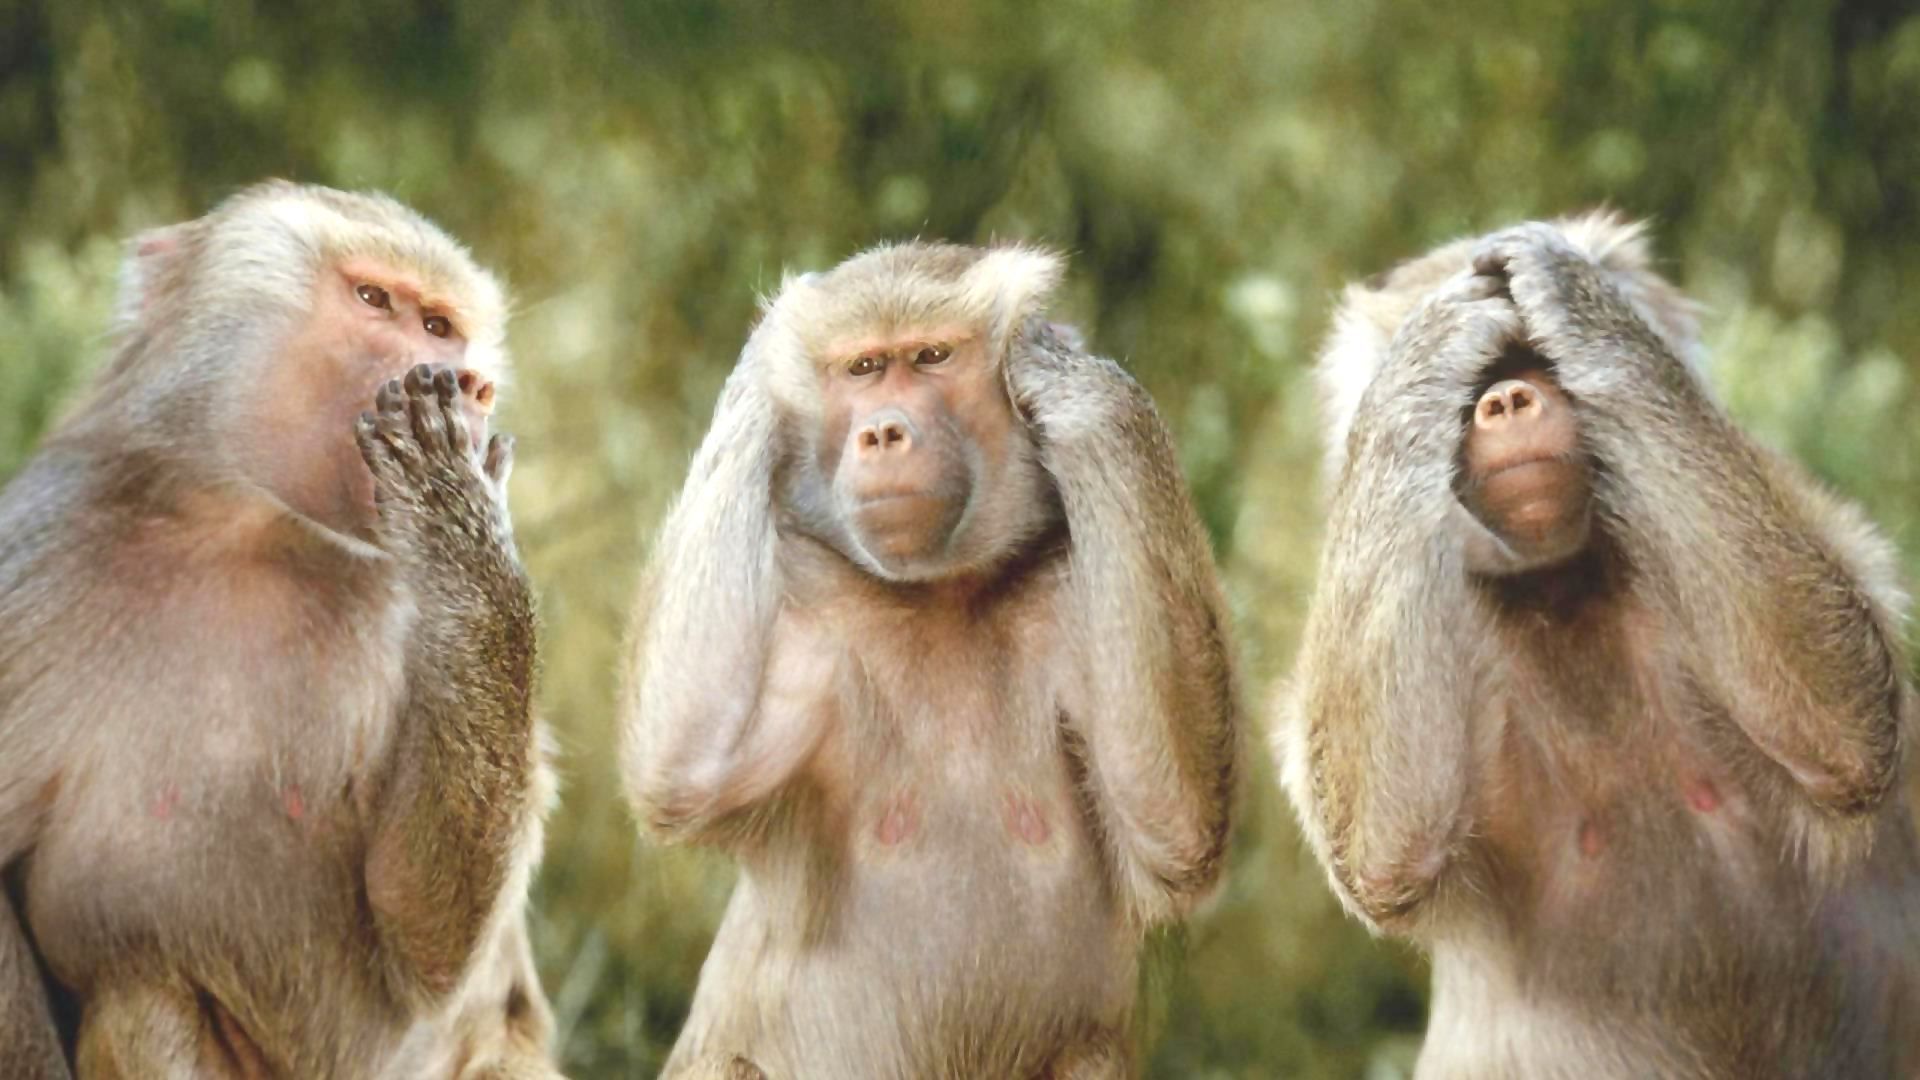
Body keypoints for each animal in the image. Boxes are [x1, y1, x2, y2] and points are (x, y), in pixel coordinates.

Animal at [0, 181, 559, 1078]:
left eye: (443, 325)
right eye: (376, 302)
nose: (472, 385)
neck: (250, 528)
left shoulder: (403, 602)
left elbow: (423, 942)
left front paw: (458, 516)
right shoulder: (43, 550)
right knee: (141, 999)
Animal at [621, 242, 1238, 1079]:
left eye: (931, 357)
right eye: (863, 368)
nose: (883, 431)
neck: (942, 594)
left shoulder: (1069, 590)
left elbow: (1176, 828)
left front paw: (1069, 375)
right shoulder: (809, 605)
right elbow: (683, 768)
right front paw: (757, 371)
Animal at [1278, 214, 1920, 1078]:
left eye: (1537, 358)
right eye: (1477, 379)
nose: (1507, 398)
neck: (1563, 585)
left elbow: (1847, 727)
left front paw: (1573, 292)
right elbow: (1384, 849)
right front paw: (1430, 341)